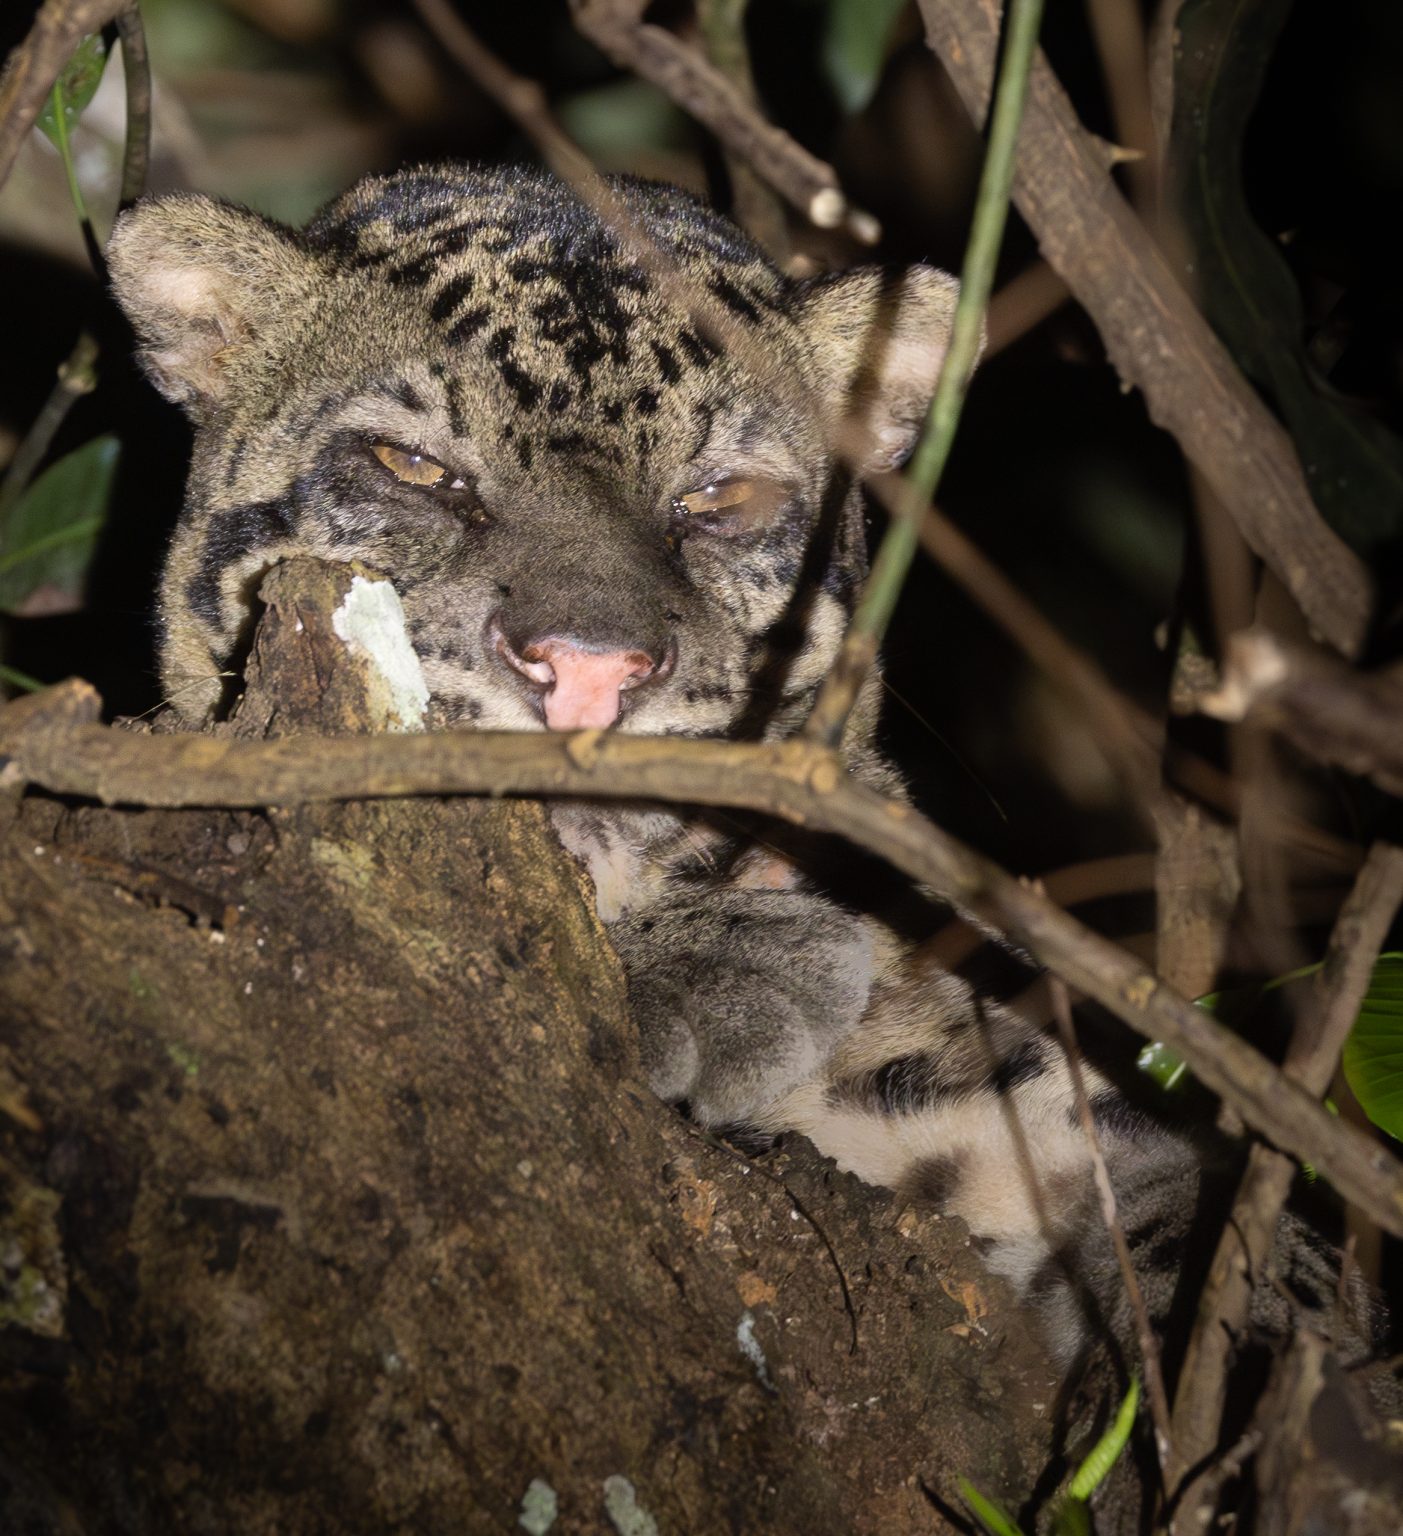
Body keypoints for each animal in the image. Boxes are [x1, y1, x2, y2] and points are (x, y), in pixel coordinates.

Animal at [107, 164, 1385, 1411]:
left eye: (721, 500)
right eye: (411, 467)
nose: (589, 662)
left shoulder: (1089, 1118)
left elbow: (1251, 1256)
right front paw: (721, 972)